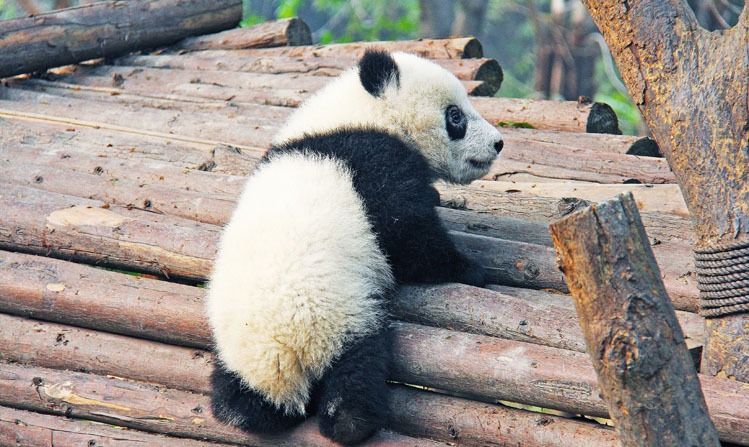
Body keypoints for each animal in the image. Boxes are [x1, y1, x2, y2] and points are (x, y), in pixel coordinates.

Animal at [206, 49, 504, 445]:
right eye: (455, 116)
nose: (498, 143)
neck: (360, 114)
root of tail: (281, 355)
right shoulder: (374, 164)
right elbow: (410, 239)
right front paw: (470, 269)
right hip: (342, 316)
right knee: (358, 368)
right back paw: (352, 422)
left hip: (235, 349)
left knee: (237, 396)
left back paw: (241, 409)